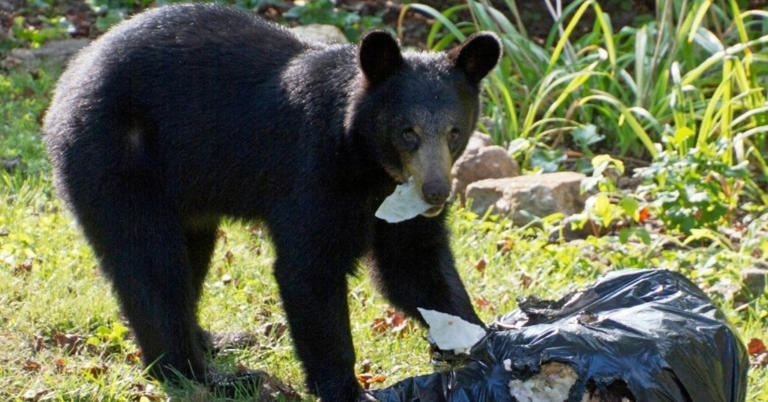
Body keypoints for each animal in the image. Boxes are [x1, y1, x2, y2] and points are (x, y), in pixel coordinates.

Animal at [43, 4, 501, 401]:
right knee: (151, 264)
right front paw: (348, 389)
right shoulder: (313, 170)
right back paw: (206, 374)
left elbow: (415, 266)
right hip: (117, 159)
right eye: (408, 132)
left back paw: (215, 340)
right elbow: (308, 270)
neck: (368, 164)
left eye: (455, 132)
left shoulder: (397, 203)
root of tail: (67, 82)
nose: (435, 193)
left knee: (189, 255)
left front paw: (479, 340)